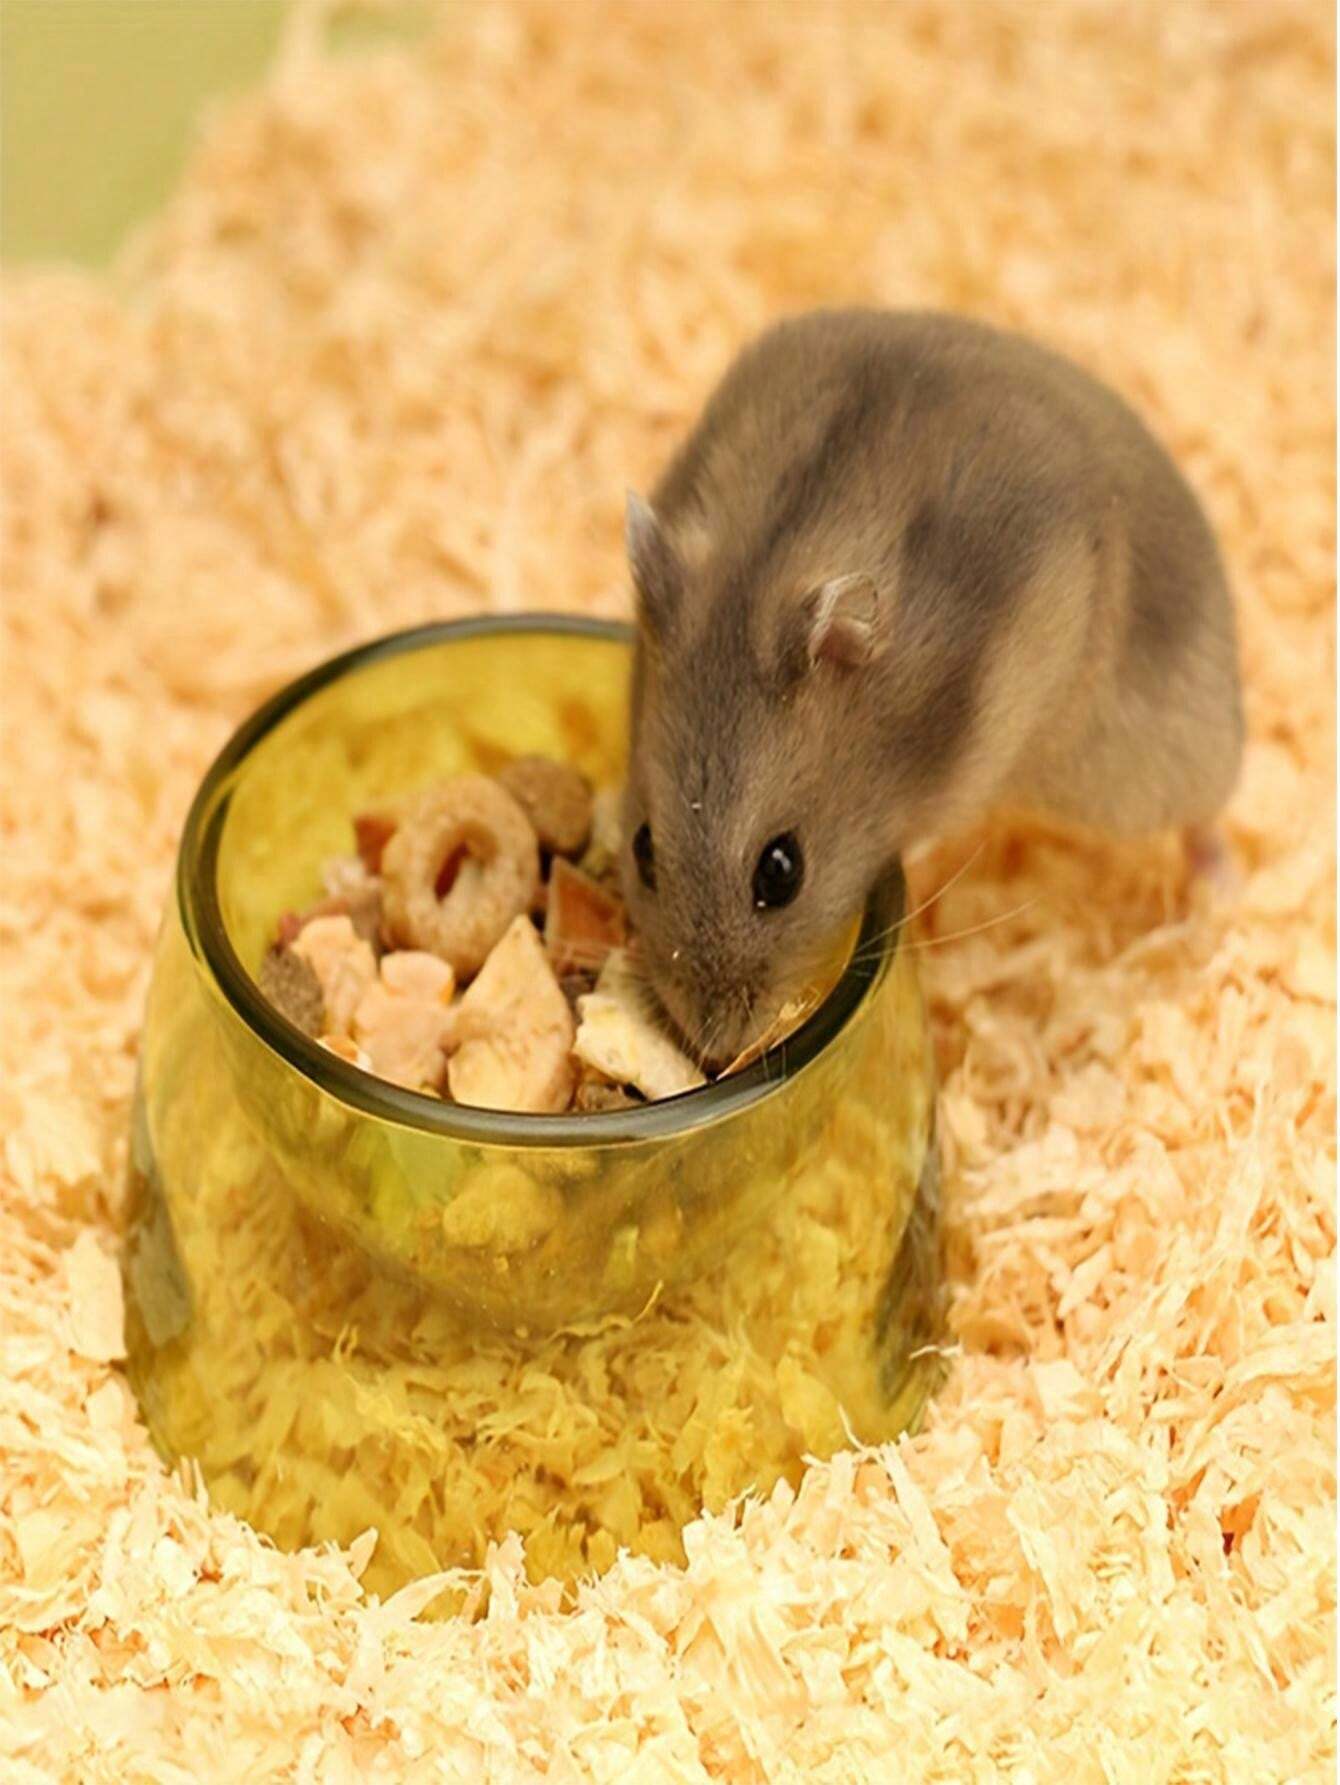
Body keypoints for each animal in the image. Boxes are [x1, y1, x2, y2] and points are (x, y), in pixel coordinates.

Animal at [619, 308, 1244, 1066]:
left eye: (781, 871)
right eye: (643, 848)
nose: (712, 1048)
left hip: (1162, 760)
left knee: (1207, 815)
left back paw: (1220, 896)